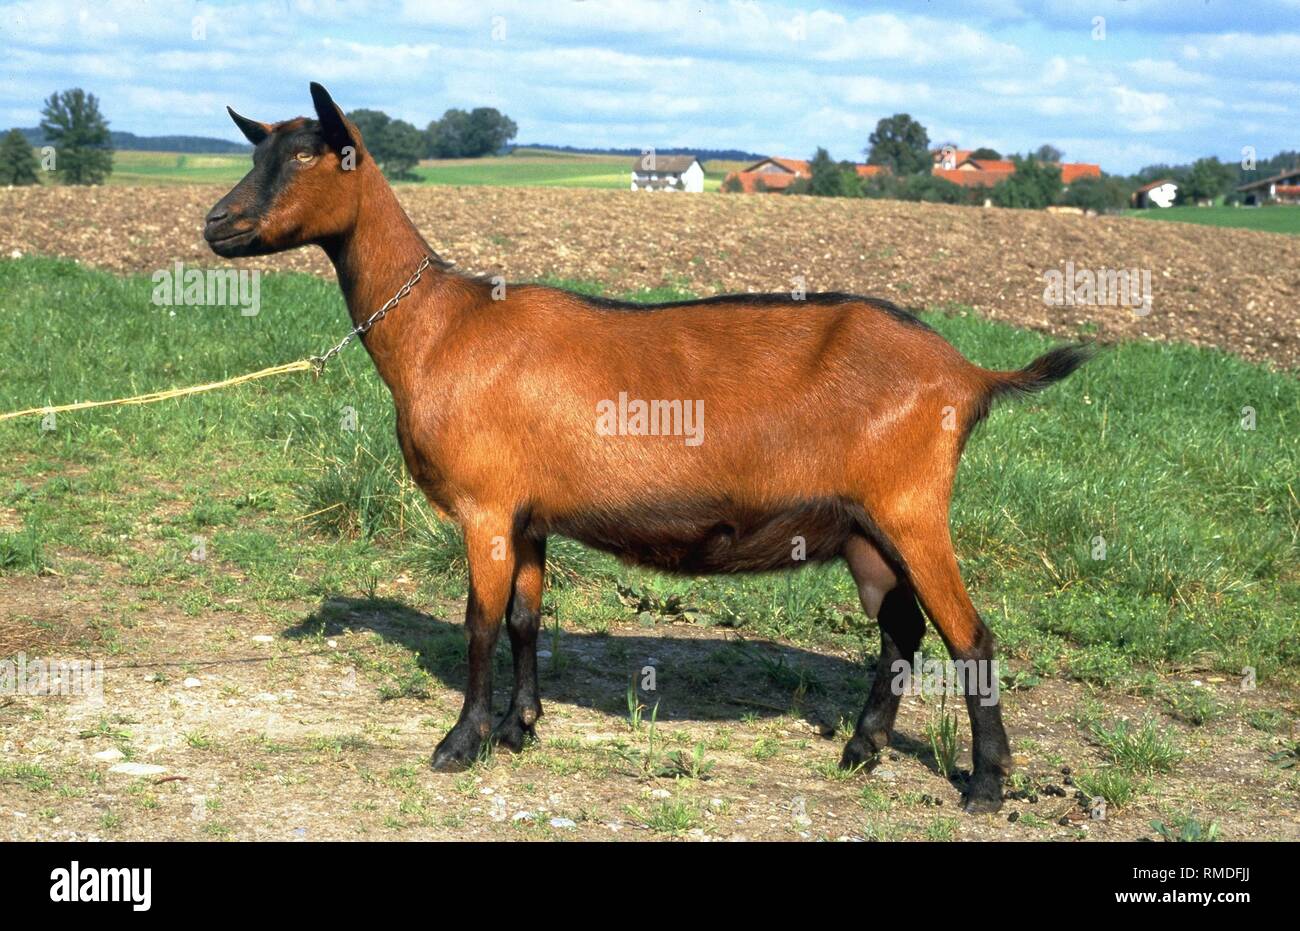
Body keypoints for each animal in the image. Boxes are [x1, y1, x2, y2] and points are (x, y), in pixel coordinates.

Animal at [204, 84, 1091, 813]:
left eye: (305, 156)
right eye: (254, 151)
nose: (215, 224)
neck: (439, 328)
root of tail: (970, 373)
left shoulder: (486, 505)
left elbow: (479, 623)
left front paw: (461, 742)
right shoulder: (528, 514)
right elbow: (525, 617)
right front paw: (521, 728)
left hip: (912, 507)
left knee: (970, 636)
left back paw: (985, 786)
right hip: (864, 528)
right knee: (901, 629)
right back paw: (861, 750)